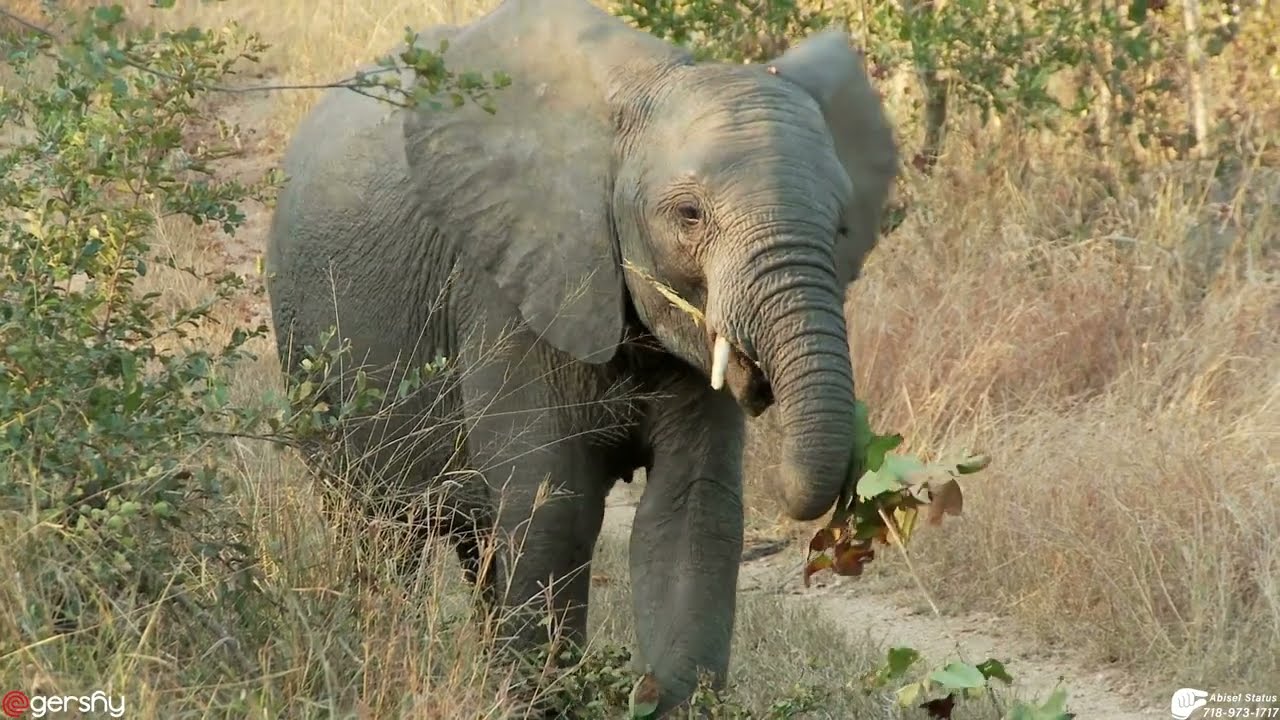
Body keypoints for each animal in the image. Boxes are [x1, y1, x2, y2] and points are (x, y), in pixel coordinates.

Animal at [264, 0, 898, 712]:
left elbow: (690, 507)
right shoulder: (501, 286)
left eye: (842, 224)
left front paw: (662, 702)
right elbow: (552, 500)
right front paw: (541, 701)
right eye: (688, 214)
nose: (761, 387)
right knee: (377, 525)